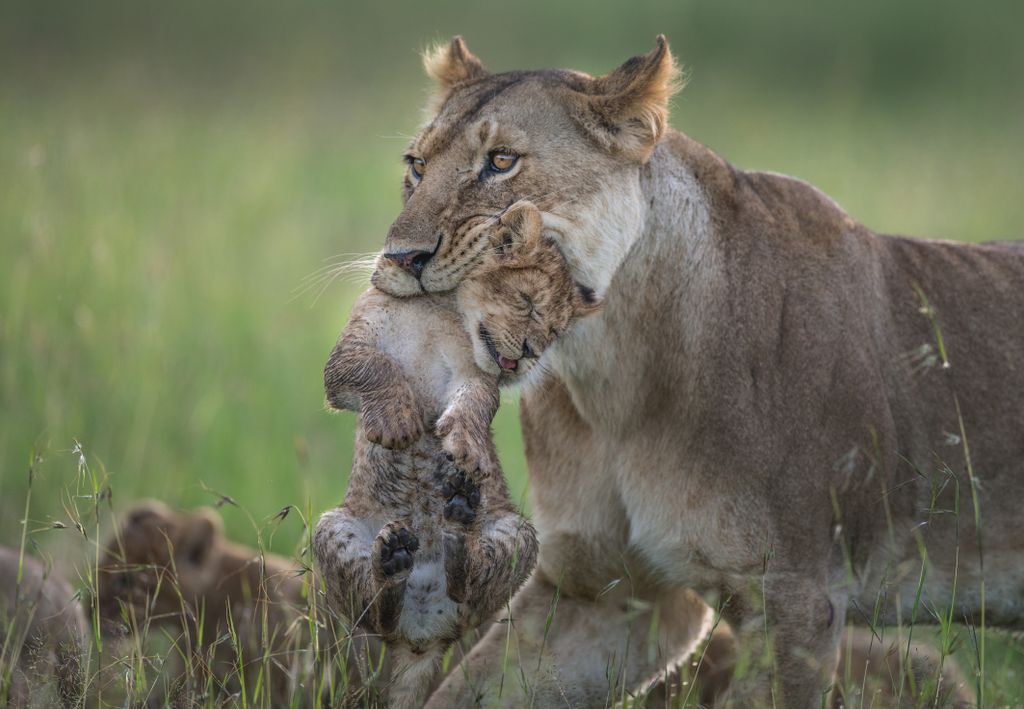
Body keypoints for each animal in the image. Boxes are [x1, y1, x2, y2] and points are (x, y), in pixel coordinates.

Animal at [314, 201, 600, 708]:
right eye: (527, 302)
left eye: (552, 332)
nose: (530, 353)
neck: (433, 306)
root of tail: (423, 639)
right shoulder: (347, 353)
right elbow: (374, 366)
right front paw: (397, 422)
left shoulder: (472, 370)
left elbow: (476, 401)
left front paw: (467, 448)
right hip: (332, 528)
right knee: (376, 615)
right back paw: (393, 564)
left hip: (517, 533)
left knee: (467, 592)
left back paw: (458, 527)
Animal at [366, 36, 1024, 707]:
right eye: (416, 165)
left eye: (501, 161)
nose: (400, 257)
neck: (613, 383)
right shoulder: (603, 592)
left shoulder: (795, 599)